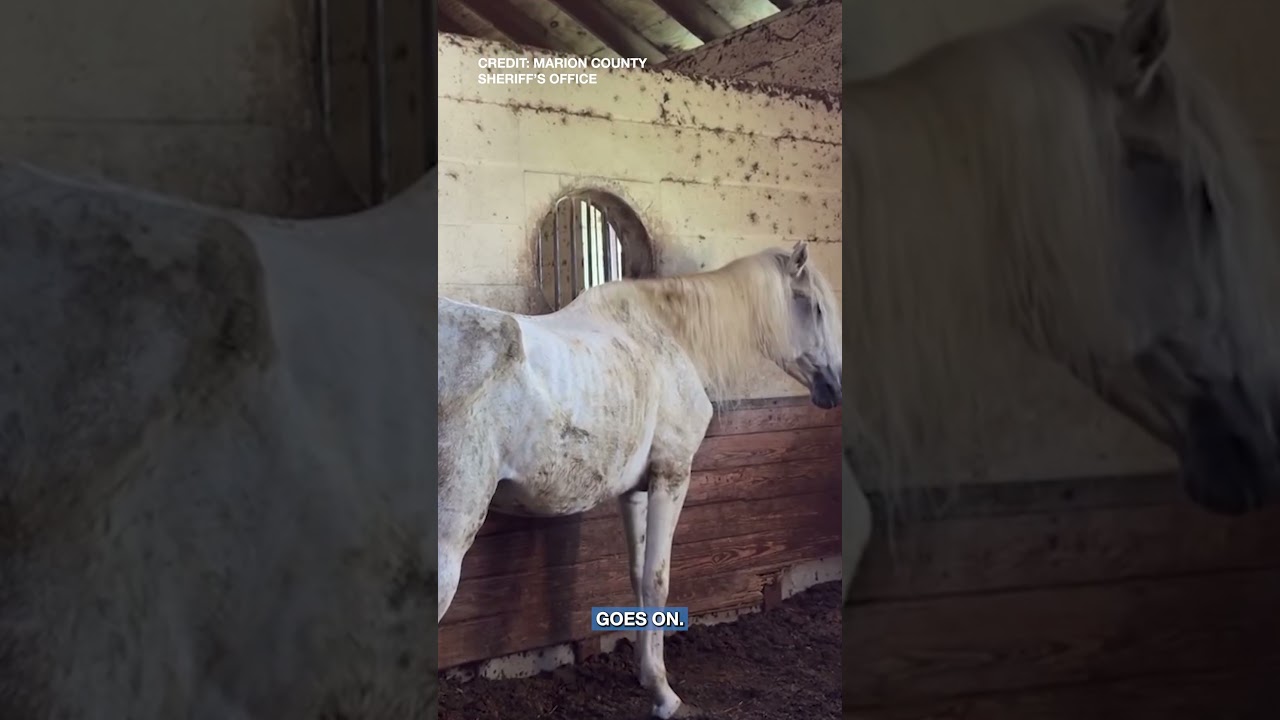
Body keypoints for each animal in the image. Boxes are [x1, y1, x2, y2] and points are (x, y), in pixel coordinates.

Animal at [437, 241, 842, 719]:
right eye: (815, 307)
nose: (834, 388)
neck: (669, 337)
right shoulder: (672, 475)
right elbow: (657, 580)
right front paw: (664, 695)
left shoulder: (634, 493)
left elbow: (636, 575)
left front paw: (645, 673)